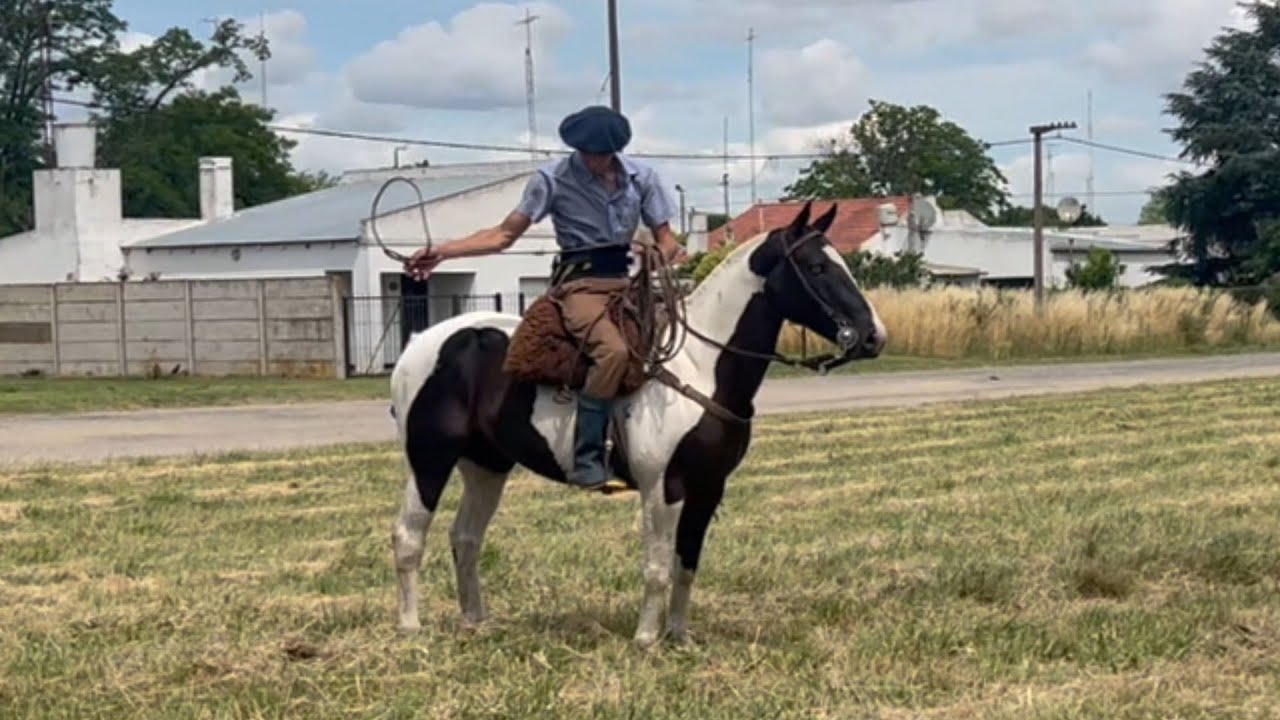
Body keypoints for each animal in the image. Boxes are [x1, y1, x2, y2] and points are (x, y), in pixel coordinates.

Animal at [388, 200, 887, 648]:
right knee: (410, 535)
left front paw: (680, 636)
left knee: (466, 537)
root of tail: (419, 342)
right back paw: (411, 627)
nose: (872, 336)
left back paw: (476, 622)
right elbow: (657, 568)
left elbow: (687, 564)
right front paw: (646, 638)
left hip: (486, 465)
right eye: (816, 267)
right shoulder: (663, 486)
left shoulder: (709, 487)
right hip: (429, 460)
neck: (699, 366)